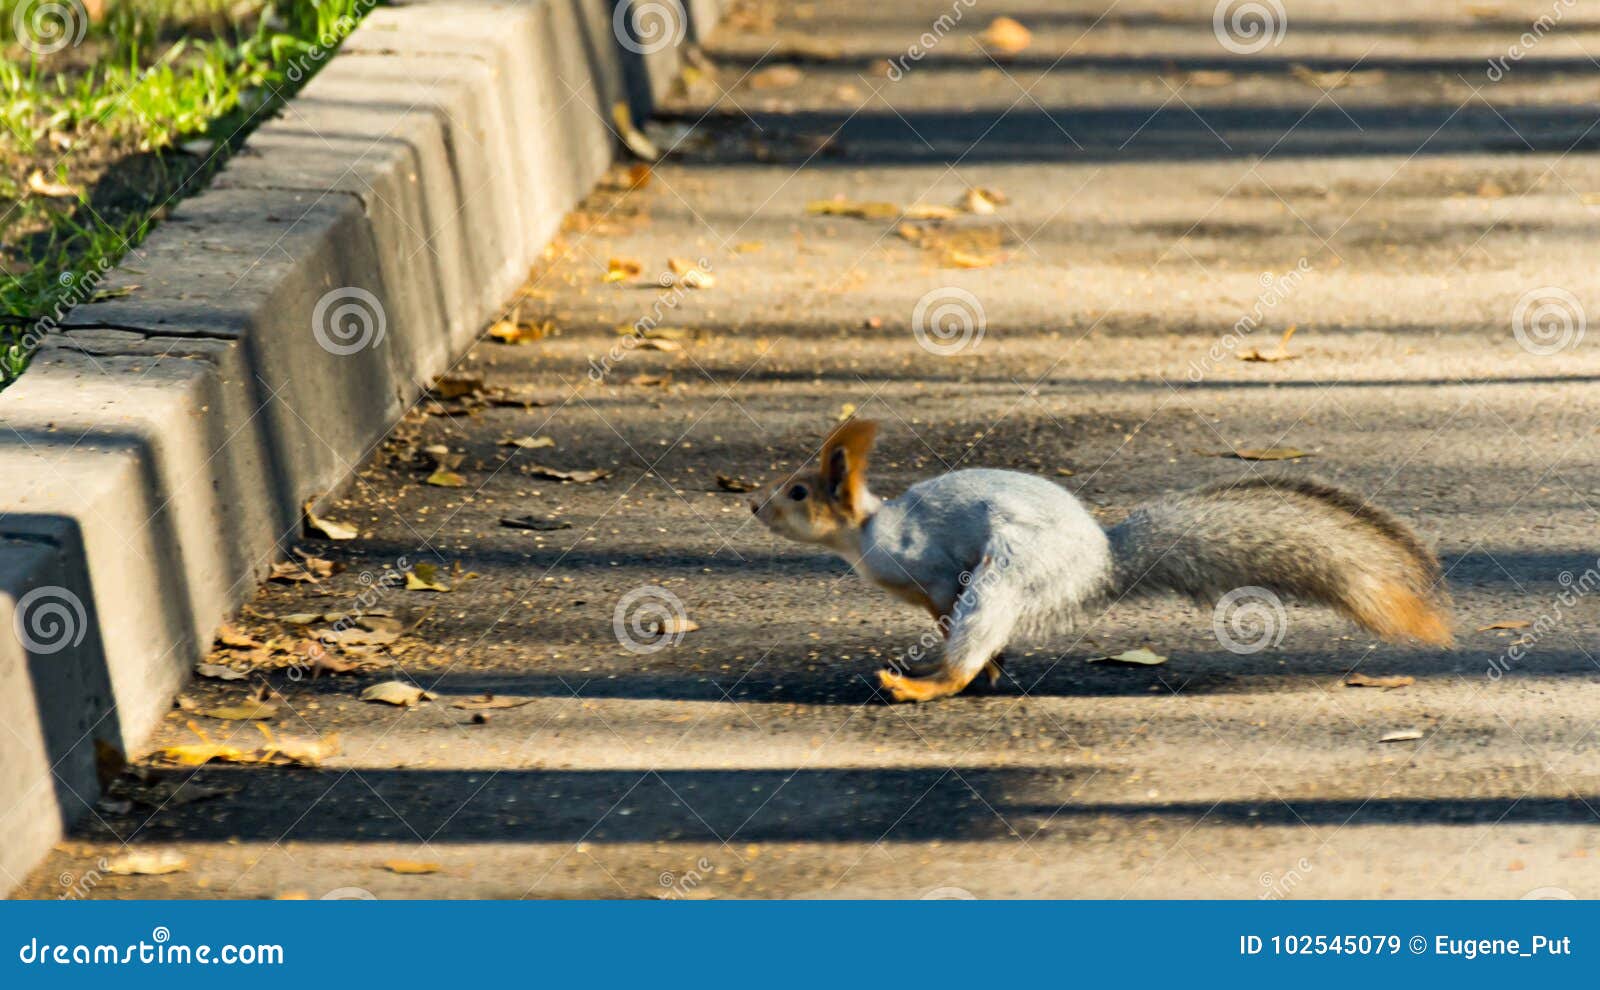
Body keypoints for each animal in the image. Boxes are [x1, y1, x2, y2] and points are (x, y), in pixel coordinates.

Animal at [750, 418, 1453, 703]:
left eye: (798, 492)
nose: (755, 505)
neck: (868, 532)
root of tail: (1099, 561)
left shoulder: (929, 565)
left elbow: (946, 599)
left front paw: (965, 658)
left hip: (1011, 571)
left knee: (976, 624)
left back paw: (927, 682)